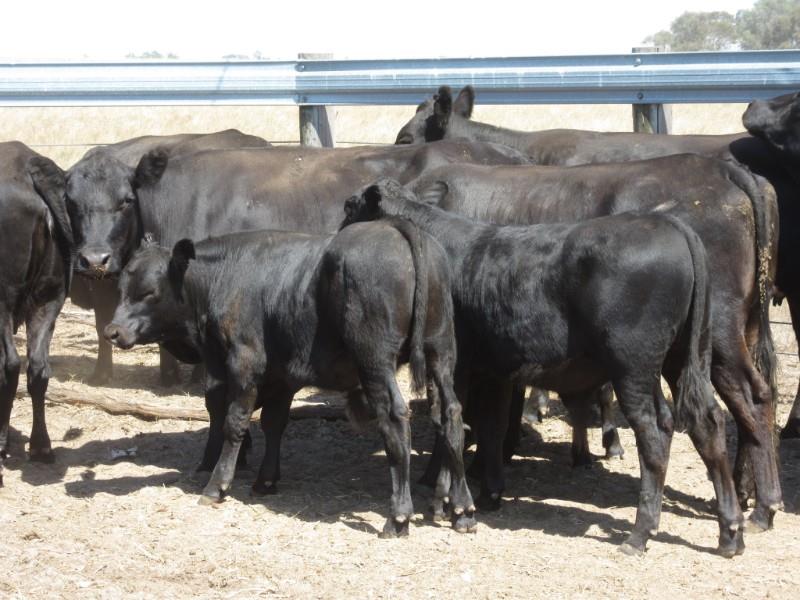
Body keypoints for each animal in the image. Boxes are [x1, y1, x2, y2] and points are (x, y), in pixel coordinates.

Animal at [103, 221, 477, 538]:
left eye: (149, 292)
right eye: (121, 287)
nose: (113, 331)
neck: (224, 278)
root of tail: (396, 226)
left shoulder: (244, 364)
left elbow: (234, 424)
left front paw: (218, 485)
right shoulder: (282, 376)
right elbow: (274, 423)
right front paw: (266, 480)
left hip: (375, 361)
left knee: (396, 419)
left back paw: (399, 515)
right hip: (441, 351)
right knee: (451, 416)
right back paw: (462, 509)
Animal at [341, 178, 745, 557]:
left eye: (348, 205)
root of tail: (668, 223)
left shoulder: (459, 364)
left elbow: (451, 424)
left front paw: (445, 501)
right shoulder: (495, 369)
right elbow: (491, 427)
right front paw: (487, 494)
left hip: (633, 366)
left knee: (654, 435)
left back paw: (640, 533)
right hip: (682, 359)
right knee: (706, 423)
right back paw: (730, 532)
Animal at [405, 154, 781, 531]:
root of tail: (724, 168)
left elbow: (459, 416)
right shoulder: (496, 363)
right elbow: (489, 419)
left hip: (716, 338)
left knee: (748, 398)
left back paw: (760, 506)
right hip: (717, 342)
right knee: (751, 401)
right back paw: (751, 499)